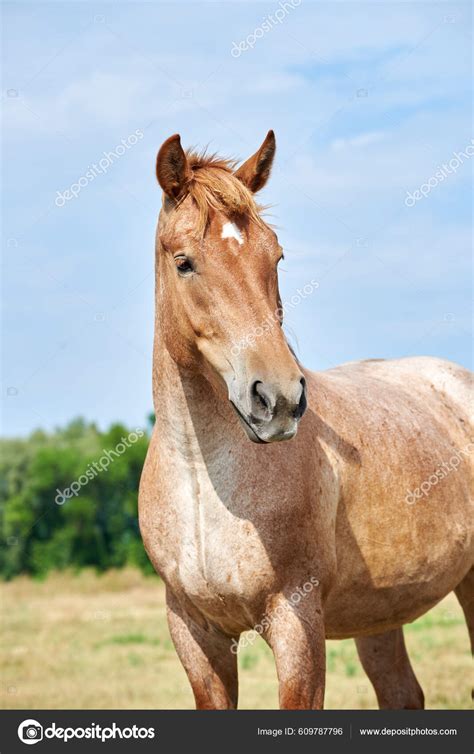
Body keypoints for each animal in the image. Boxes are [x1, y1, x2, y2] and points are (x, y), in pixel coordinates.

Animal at [139, 130, 473, 709]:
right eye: (184, 262)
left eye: (276, 255)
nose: (278, 398)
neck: (204, 481)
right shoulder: (194, 630)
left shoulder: (295, 621)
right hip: (379, 617)